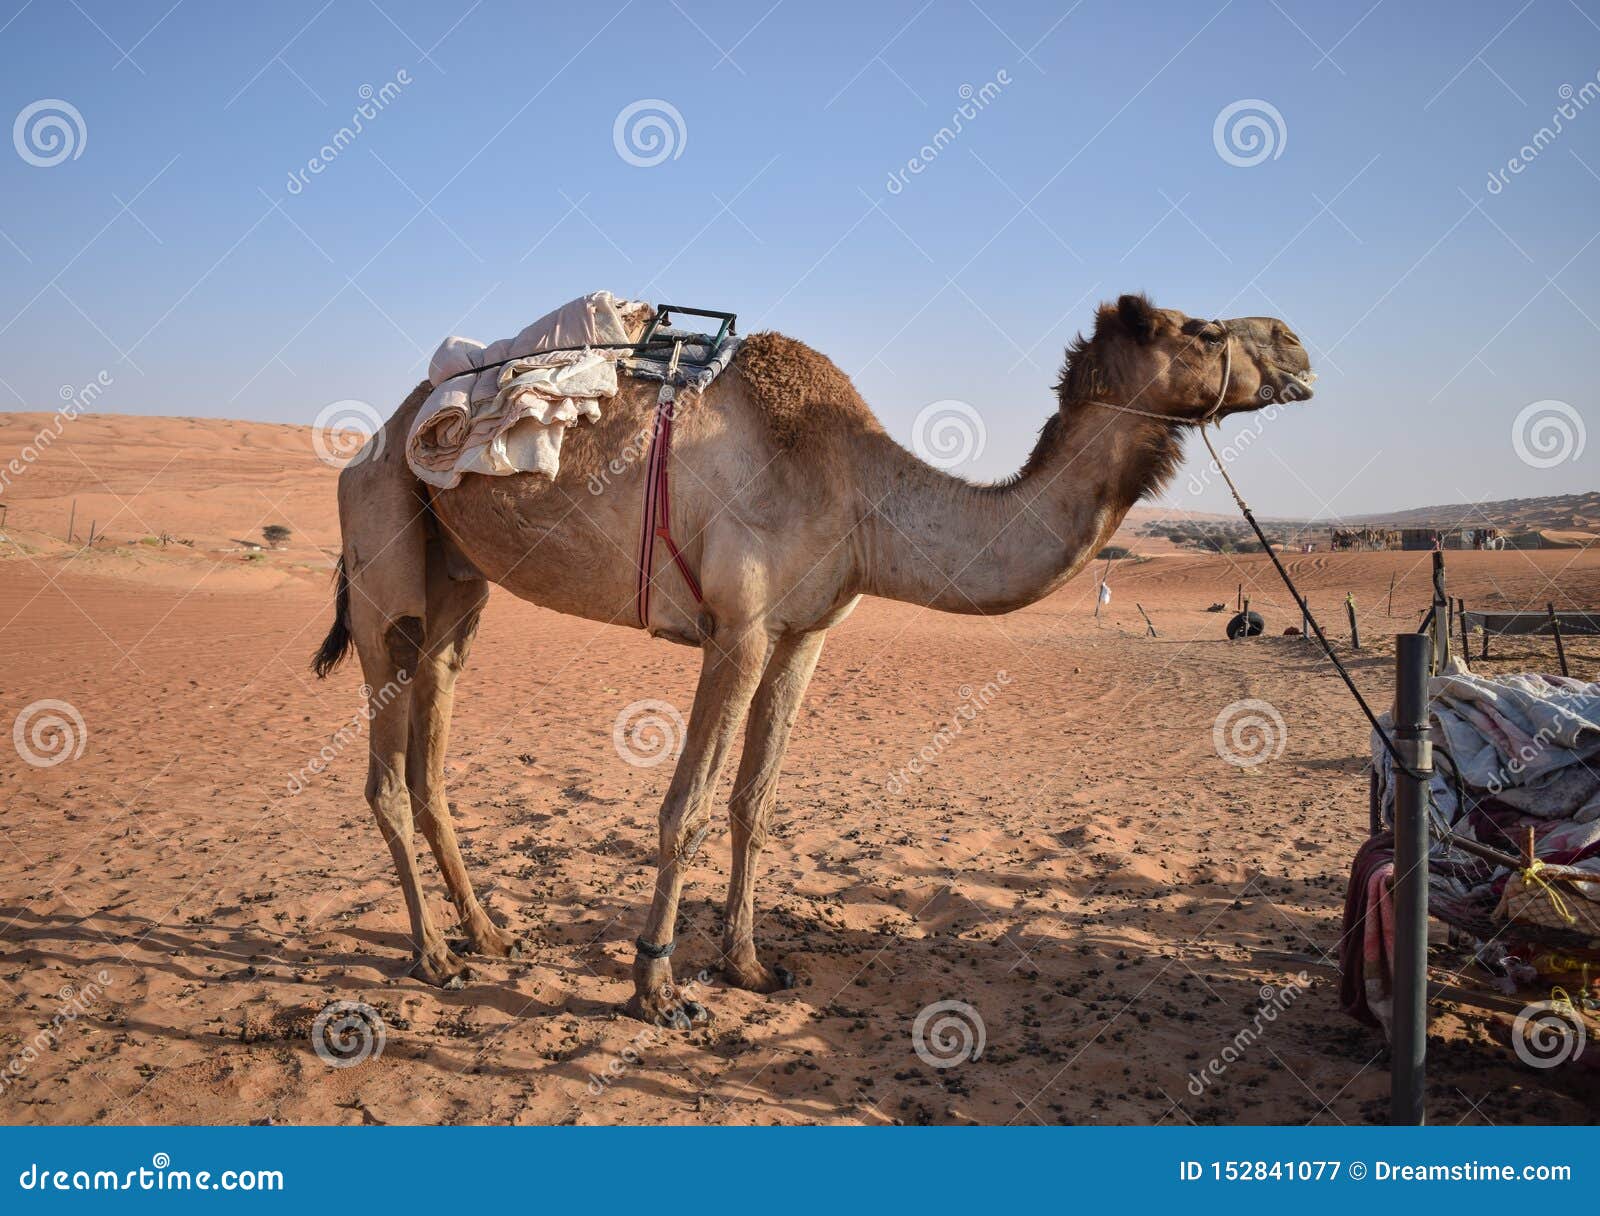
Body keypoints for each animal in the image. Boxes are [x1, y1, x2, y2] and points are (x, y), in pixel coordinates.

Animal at [311, 293, 1315, 1024]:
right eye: (1204, 330)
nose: (1299, 346)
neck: (858, 494)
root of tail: (372, 441)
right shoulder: (739, 629)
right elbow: (687, 809)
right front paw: (657, 990)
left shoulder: (804, 634)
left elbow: (755, 802)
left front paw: (749, 965)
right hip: (384, 556)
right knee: (385, 771)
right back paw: (434, 955)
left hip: (459, 583)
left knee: (432, 746)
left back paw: (488, 935)